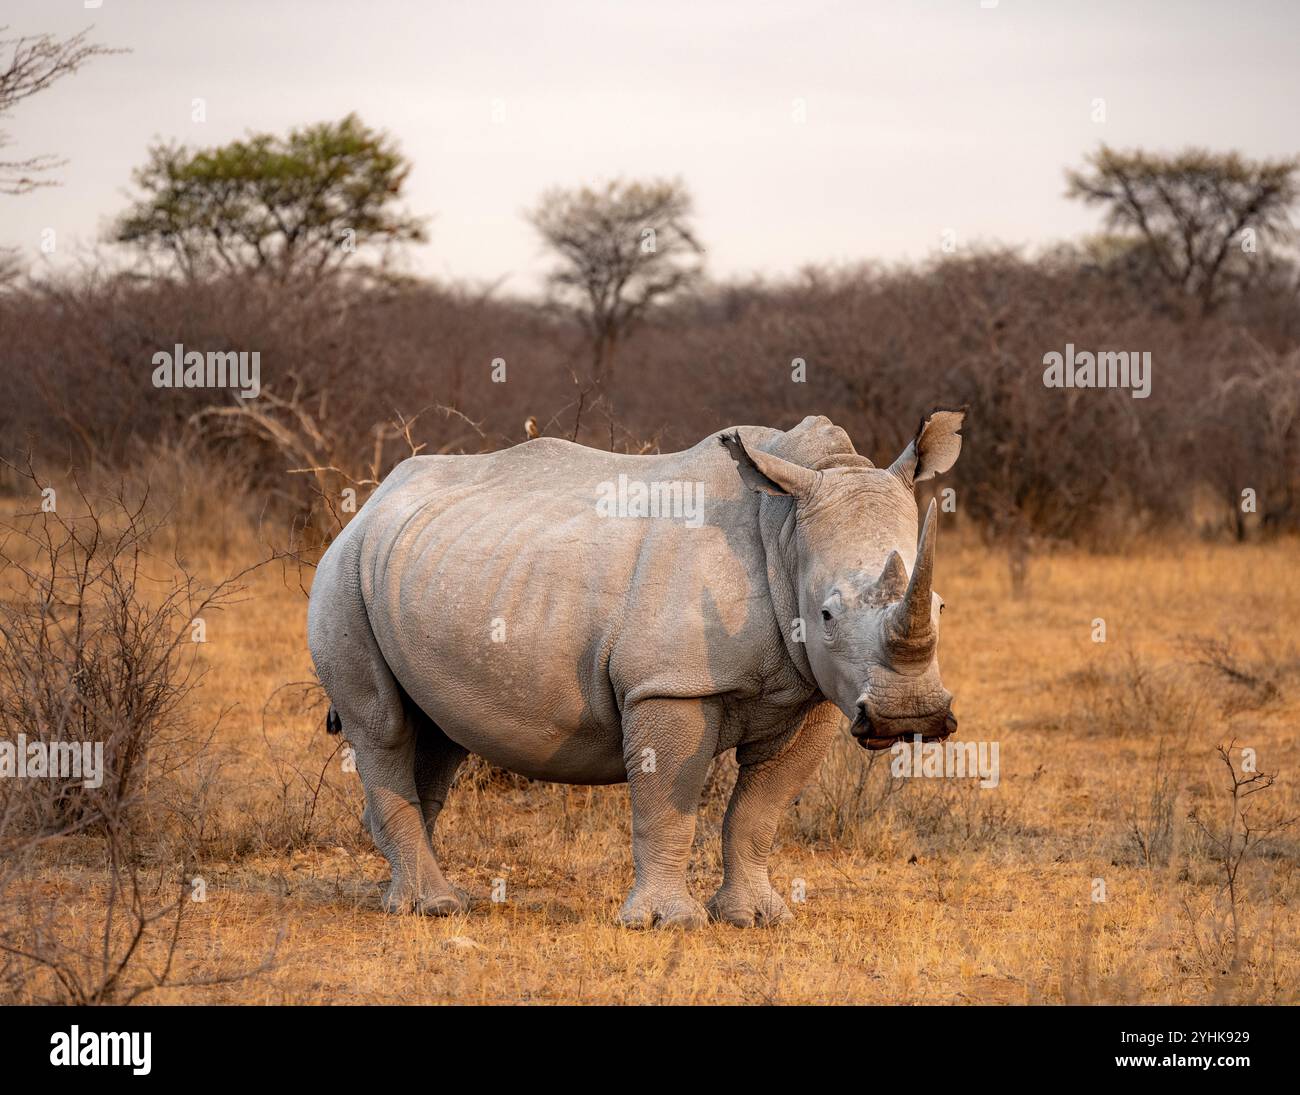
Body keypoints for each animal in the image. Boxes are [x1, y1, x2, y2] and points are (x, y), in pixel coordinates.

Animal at [307, 409, 965, 928]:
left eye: (939, 606)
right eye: (826, 613)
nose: (910, 717)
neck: (784, 529)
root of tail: (370, 501)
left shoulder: (813, 693)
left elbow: (761, 809)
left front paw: (756, 917)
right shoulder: (668, 687)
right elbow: (667, 806)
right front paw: (667, 923)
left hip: (421, 566)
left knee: (439, 732)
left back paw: (416, 897)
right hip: (342, 572)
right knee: (383, 726)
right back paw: (434, 907)